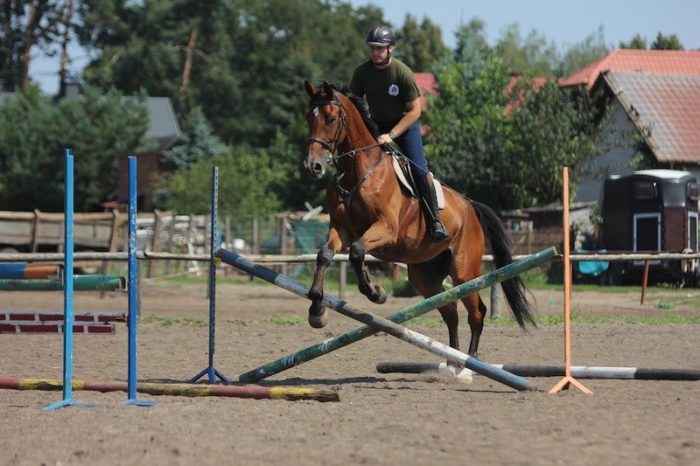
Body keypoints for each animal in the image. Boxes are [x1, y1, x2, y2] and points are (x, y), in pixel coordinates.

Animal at [303, 80, 535, 372]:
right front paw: (317, 311)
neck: (359, 170)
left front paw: (376, 293)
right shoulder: (341, 229)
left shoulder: (386, 230)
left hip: (464, 271)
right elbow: (324, 255)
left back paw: (468, 362)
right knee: (450, 311)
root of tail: (470, 206)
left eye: (331, 119)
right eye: (308, 119)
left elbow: (356, 251)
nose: (313, 166)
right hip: (424, 275)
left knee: (476, 311)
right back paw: (452, 362)